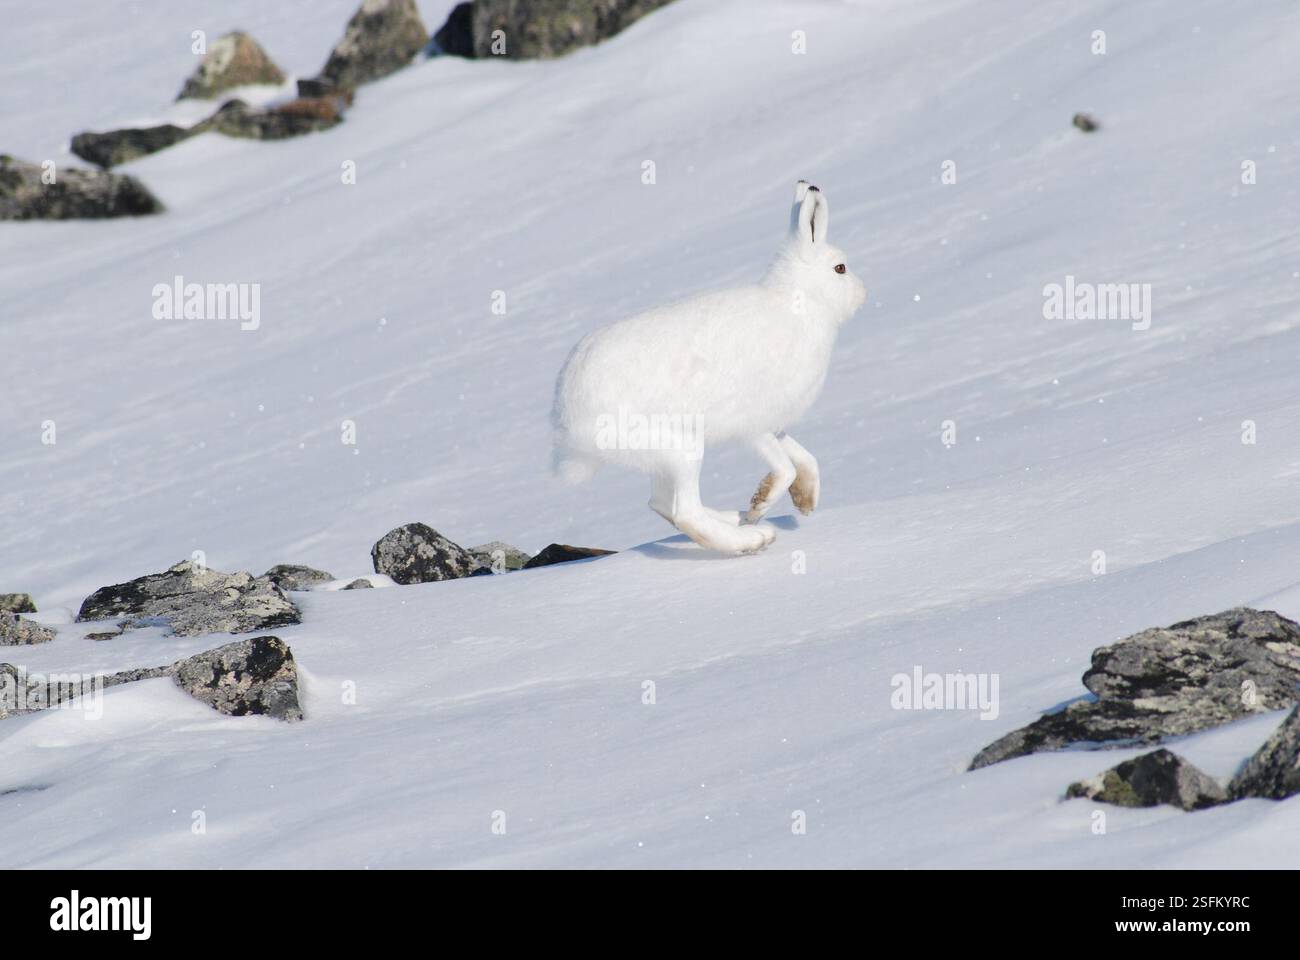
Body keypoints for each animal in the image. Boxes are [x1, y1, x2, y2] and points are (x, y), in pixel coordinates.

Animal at [551, 180, 866, 554]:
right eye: (840, 268)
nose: (862, 292)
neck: (800, 304)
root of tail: (568, 422)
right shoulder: (754, 425)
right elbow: (785, 466)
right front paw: (760, 503)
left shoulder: (775, 422)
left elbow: (805, 457)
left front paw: (804, 500)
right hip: (678, 445)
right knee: (684, 511)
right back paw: (750, 537)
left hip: (665, 454)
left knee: (662, 503)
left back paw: (737, 519)